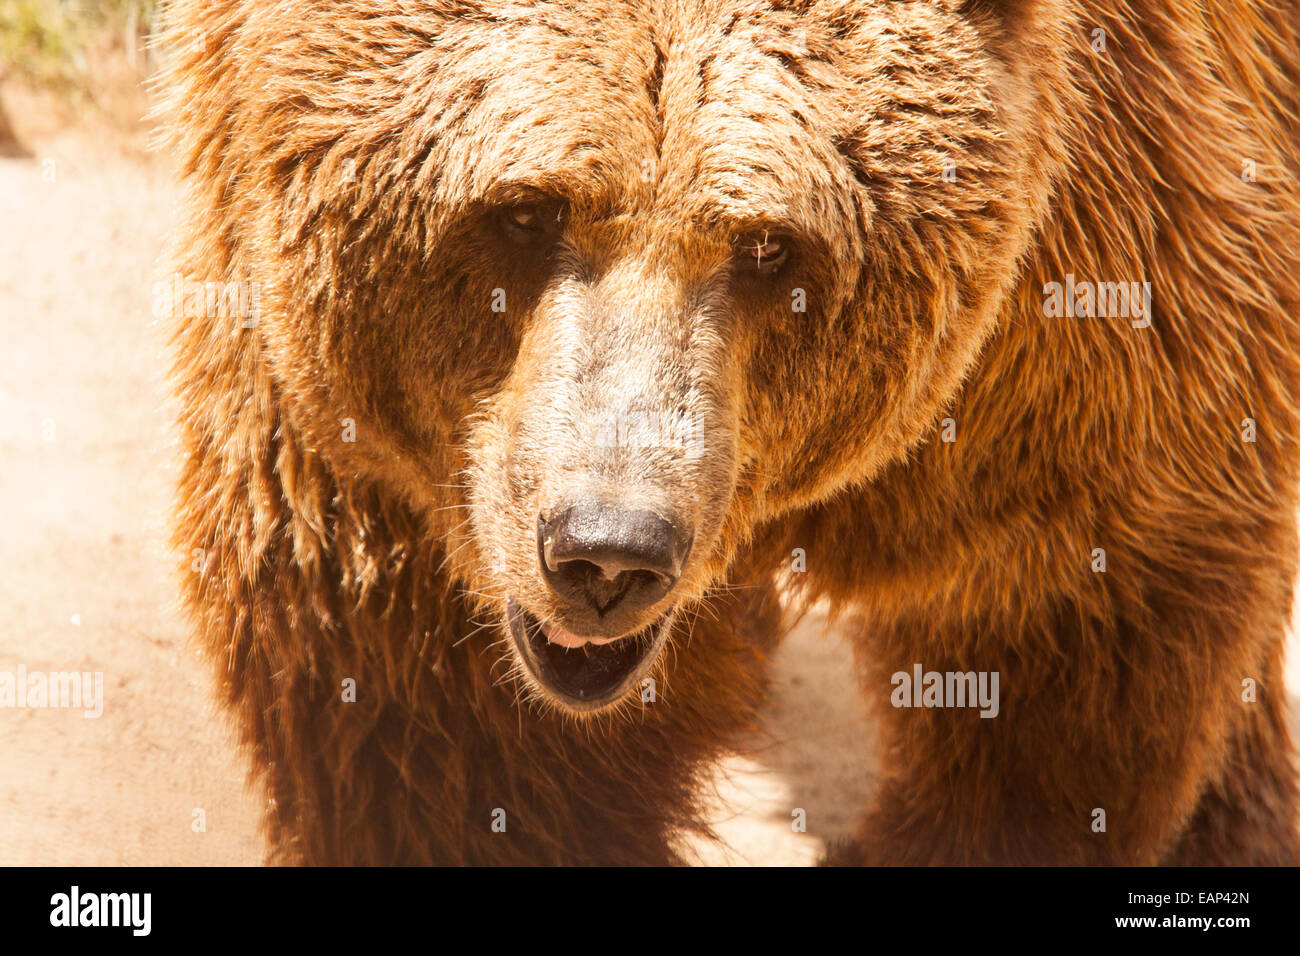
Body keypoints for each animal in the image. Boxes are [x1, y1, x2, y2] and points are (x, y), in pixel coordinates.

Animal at [158, 0, 1300, 865]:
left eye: (766, 247)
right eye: (525, 211)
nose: (607, 554)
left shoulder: (1062, 338)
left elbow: (1075, 641)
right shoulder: (387, 455)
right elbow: (439, 725)